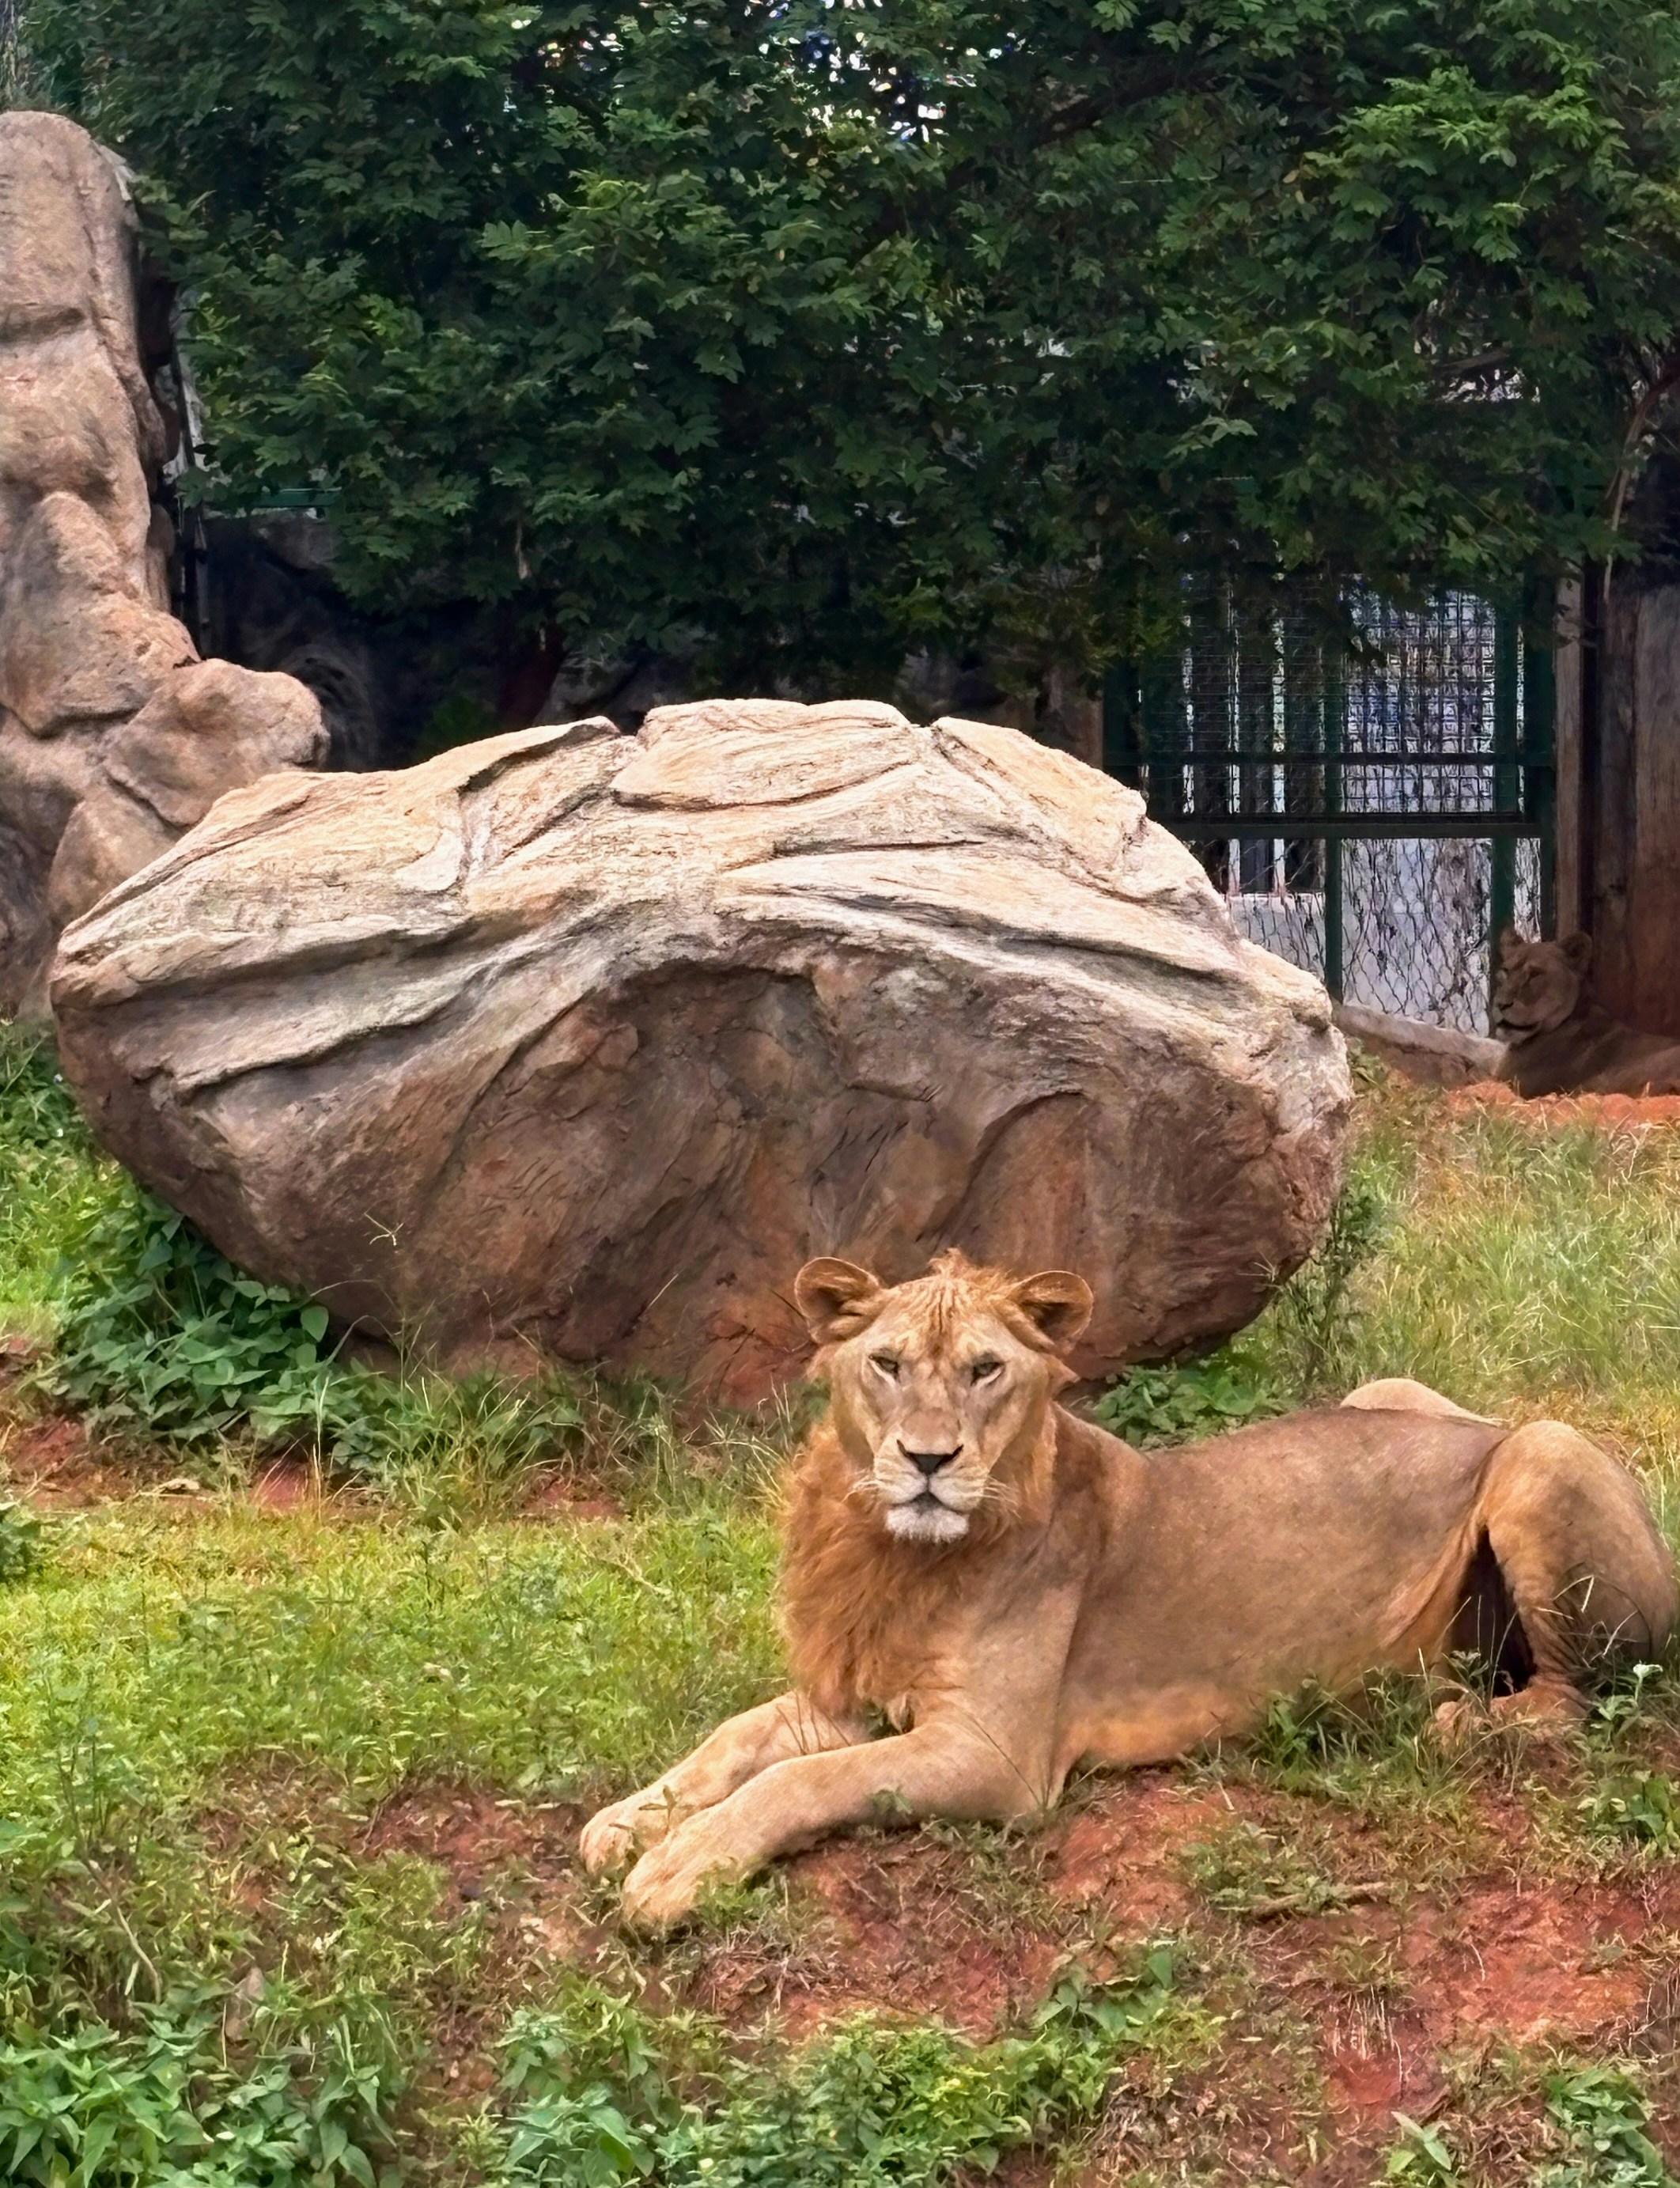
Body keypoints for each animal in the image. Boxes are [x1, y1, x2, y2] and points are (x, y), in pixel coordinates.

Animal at [581, 1251, 1675, 1926]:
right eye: (886, 1364)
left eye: (985, 1371)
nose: (928, 1461)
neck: (894, 1552)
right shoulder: (860, 1693)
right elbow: (737, 1740)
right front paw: (627, 1823)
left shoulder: (995, 1756)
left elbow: (804, 1781)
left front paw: (676, 1869)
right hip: (1394, 1397)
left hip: (1541, 1450)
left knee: (1574, 1701)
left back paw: (1455, 1718)